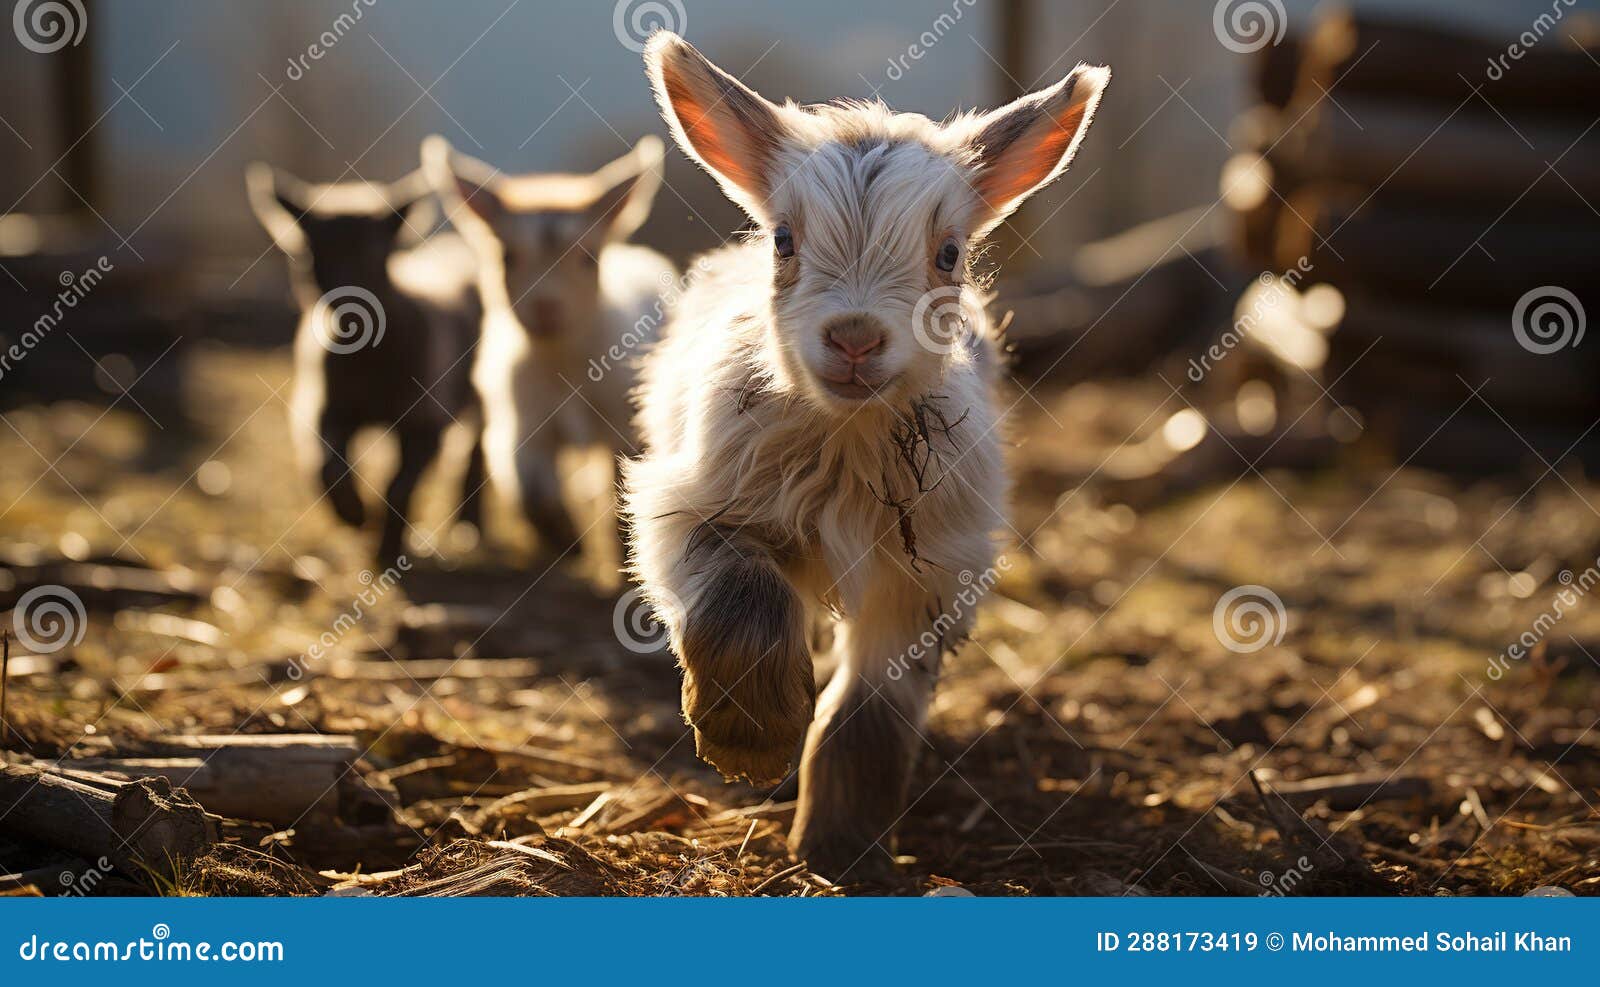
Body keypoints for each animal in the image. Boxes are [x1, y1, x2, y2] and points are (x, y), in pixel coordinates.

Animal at [246, 164, 485, 566]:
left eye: (375, 254)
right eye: (309, 253)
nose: (348, 302)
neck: (369, 363)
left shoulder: (426, 420)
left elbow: (399, 486)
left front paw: (387, 550)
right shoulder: (323, 408)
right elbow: (326, 465)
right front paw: (354, 515)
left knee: (478, 451)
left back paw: (471, 526)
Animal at [421, 136, 673, 564]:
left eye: (588, 258)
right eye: (507, 257)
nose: (546, 307)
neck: (563, 362)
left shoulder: (624, 421)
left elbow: (623, 486)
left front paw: (622, 549)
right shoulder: (523, 421)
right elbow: (530, 487)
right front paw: (563, 538)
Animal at [623, 32, 1108, 879]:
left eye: (948, 253)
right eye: (784, 240)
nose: (854, 337)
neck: (846, 439)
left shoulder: (924, 576)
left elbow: (867, 714)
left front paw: (840, 847)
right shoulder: (689, 509)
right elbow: (743, 601)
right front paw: (751, 743)